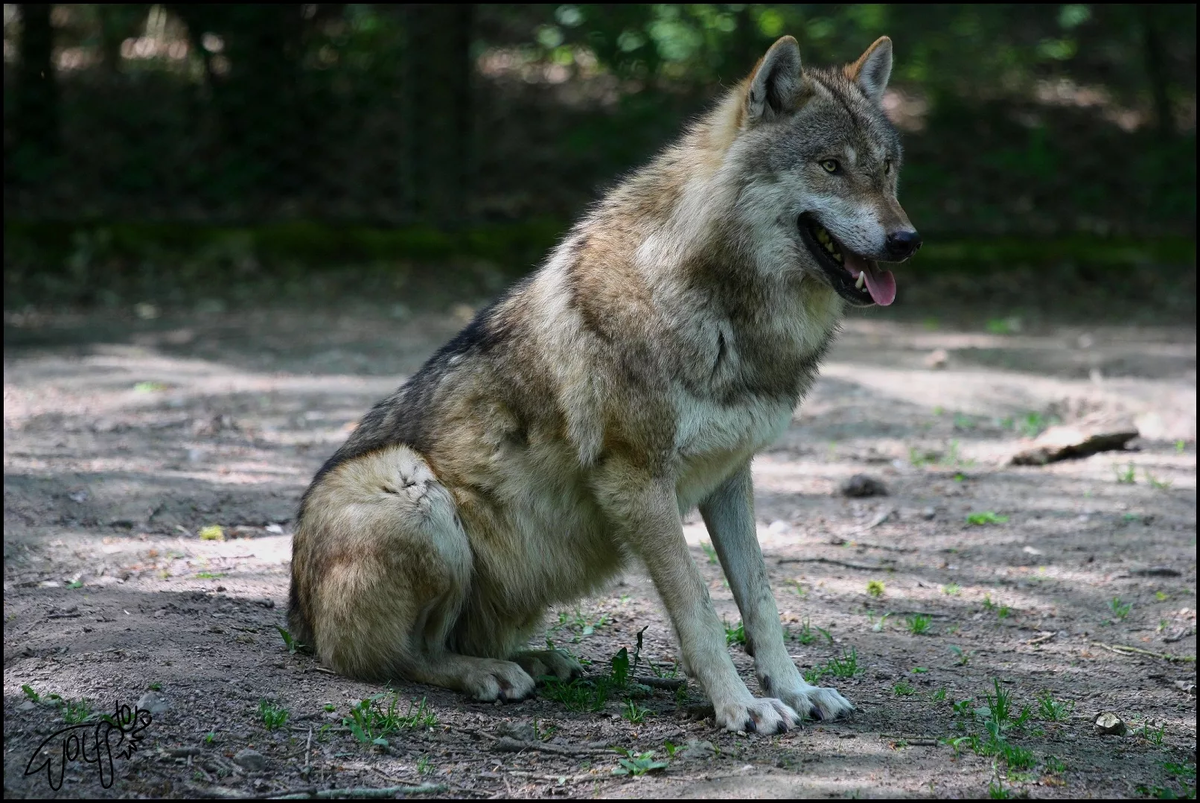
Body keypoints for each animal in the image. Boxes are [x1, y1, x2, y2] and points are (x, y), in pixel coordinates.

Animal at [288, 32, 916, 734]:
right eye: (831, 167)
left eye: (887, 169)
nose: (906, 240)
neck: (718, 310)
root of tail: (297, 621)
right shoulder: (636, 479)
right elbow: (699, 608)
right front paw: (742, 705)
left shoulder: (730, 475)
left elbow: (761, 600)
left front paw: (796, 689)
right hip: (409, 490)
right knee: (406, 656)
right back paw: (487, 675)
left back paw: (536, 661)